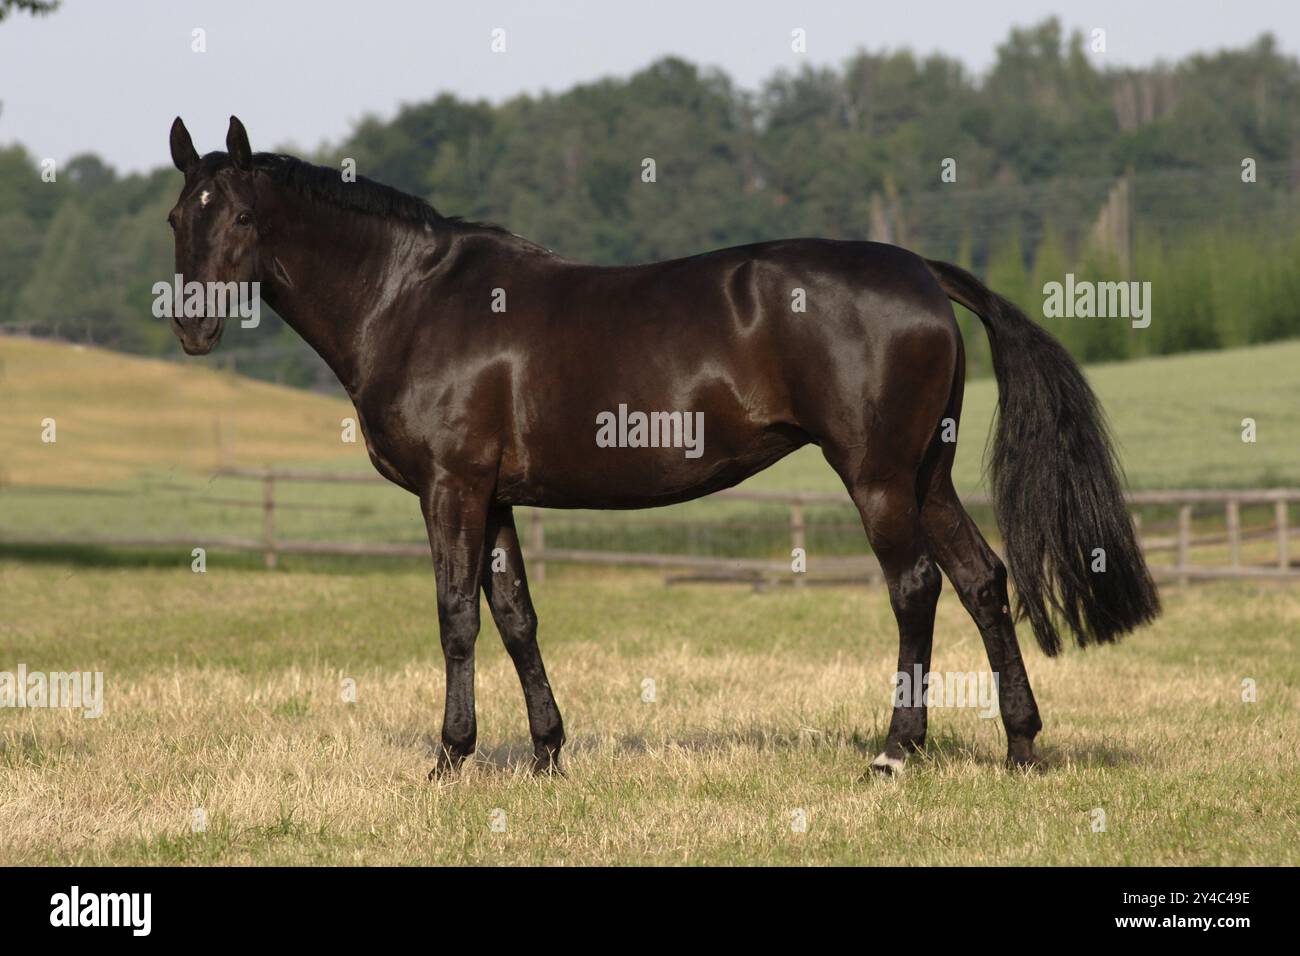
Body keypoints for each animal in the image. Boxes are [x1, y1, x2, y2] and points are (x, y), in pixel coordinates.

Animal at [166, 116, 1160, 777]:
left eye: (241, 219)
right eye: (179, 219)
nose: (191, 328)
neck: (413, 299)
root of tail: (921, 270)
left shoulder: (451, 489)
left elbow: (455, 617)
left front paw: (450, 759)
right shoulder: (495, 495)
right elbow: (516, 617)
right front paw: (547, 756)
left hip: (877, 476)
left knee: (915, 589)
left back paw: (894, 753)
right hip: (927, 475)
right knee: (983, 582)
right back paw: (1021, 748)